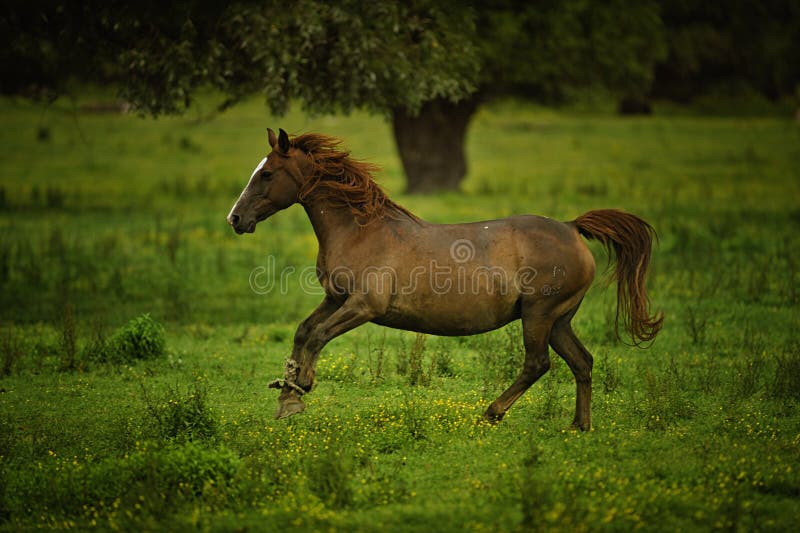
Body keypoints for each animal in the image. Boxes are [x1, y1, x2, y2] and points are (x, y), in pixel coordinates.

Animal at [227, 128, 663, 430]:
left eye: (267, 174)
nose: (235, 219)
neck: (362, 230)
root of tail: (573, 229)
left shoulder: (364, 306)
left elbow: (317, 336)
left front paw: (301, 389)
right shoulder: (335, 298)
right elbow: (303, 331)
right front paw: (288, 394)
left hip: (539, 315)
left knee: (537, 364)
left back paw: (492, 413)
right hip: (559, 320)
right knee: (582, 362)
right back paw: (579, 425)